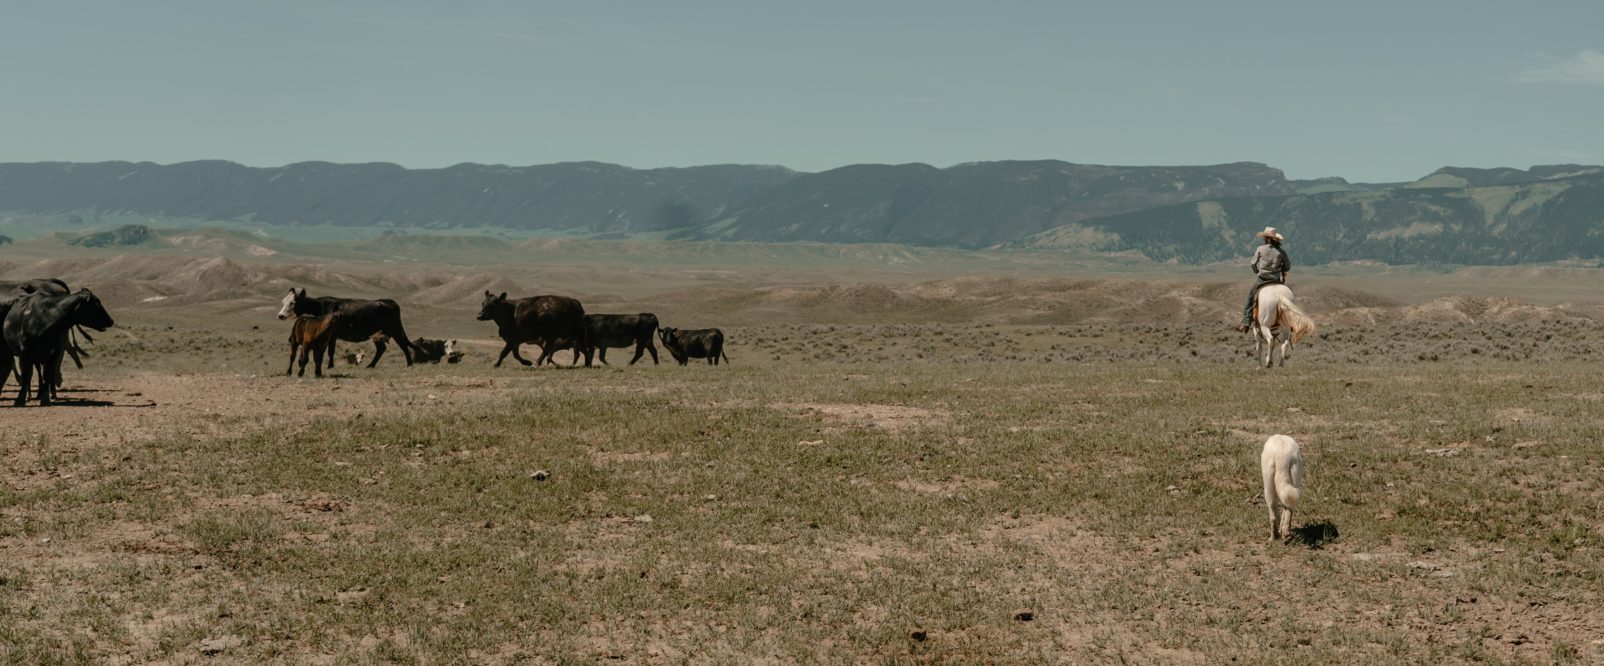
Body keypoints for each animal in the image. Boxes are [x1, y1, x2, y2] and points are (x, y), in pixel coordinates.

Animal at [277, 288, 415, 368]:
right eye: (283, 302)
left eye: (293, 303)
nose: (281, 315)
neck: (321, 306)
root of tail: (389, 301)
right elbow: (330, 350)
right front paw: (330, 365)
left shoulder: (332, 335)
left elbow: (330, 350)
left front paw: (330, 366)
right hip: (377, 334)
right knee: (381, 349)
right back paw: (370, 365)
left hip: (394, 330)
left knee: (403, 345)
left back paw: (409, 363)